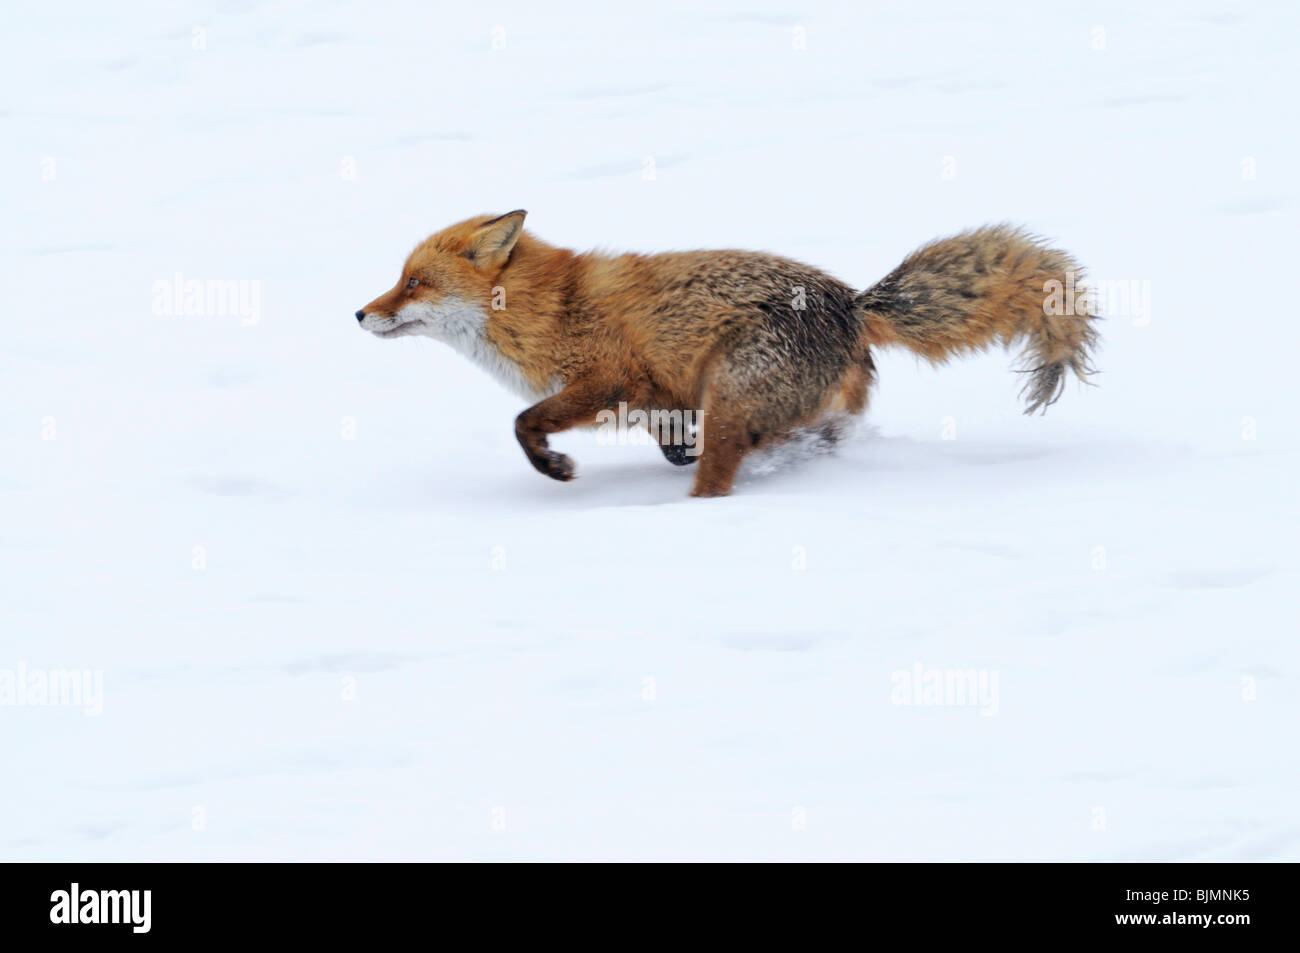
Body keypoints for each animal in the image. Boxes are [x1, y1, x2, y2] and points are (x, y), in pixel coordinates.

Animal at [356, 211, 1098, 497]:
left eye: (413, 283)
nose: (360, 313)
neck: (551, 309)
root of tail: (852, 302)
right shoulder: (658, 399)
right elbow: (665, 439)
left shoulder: (607, 380)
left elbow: (523, 423)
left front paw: (554, 467)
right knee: (813, 435)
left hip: (732, 395)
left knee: (719, 476)